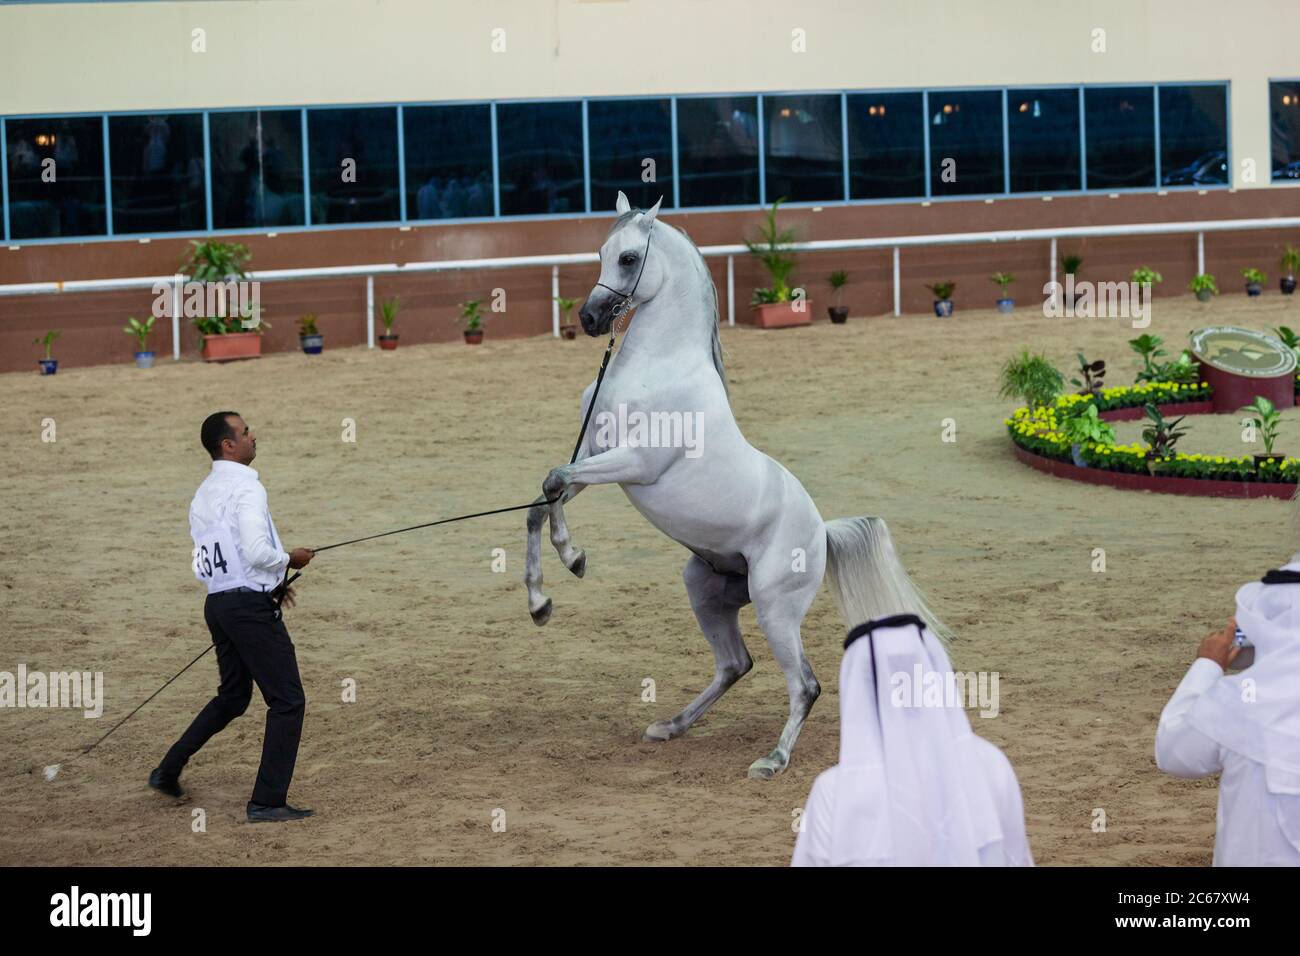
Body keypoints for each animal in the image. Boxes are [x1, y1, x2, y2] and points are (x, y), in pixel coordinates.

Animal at [524, 191, 945, 778]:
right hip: (707, 591)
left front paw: (569, 563)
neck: (657, 366)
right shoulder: (594, 454)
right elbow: (546, 497)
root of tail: (821, 532)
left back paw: (773, 760)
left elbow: (554, 482)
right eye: (601, 253)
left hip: (775, 607)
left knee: (805, 684)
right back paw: (671, 725)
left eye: (628, 258)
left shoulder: (633, 463)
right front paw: (549, 592)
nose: (587, 318)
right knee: (734, 663)